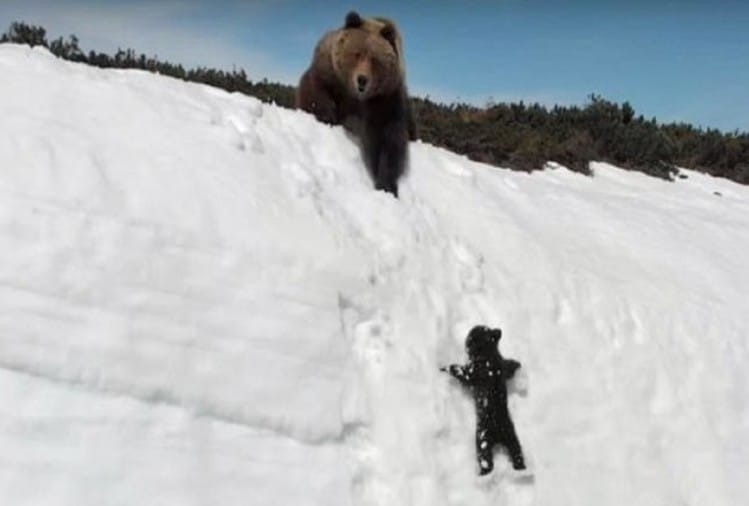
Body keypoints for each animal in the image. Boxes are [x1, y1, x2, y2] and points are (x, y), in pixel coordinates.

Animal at [296, 11, 416, 197]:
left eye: (375, 59)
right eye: (357, 53)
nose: (362, 79)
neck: (355, 97)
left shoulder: (385, 99)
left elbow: (389, 140)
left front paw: (386, 185)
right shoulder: (328, 72)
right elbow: (315, 91)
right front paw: (327, 116)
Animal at [441, 325, 526, 475]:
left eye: (470, 338)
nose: (466, 343)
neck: (488, 352)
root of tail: (499, 430)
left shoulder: (470, 373)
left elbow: (457, 369)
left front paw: (444, 368)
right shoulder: (503, 365)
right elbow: (509, 366)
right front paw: (517, 364)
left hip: (482, 439)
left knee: (486, 461)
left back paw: (484, 474)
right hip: (512, 438)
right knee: (517, 454)